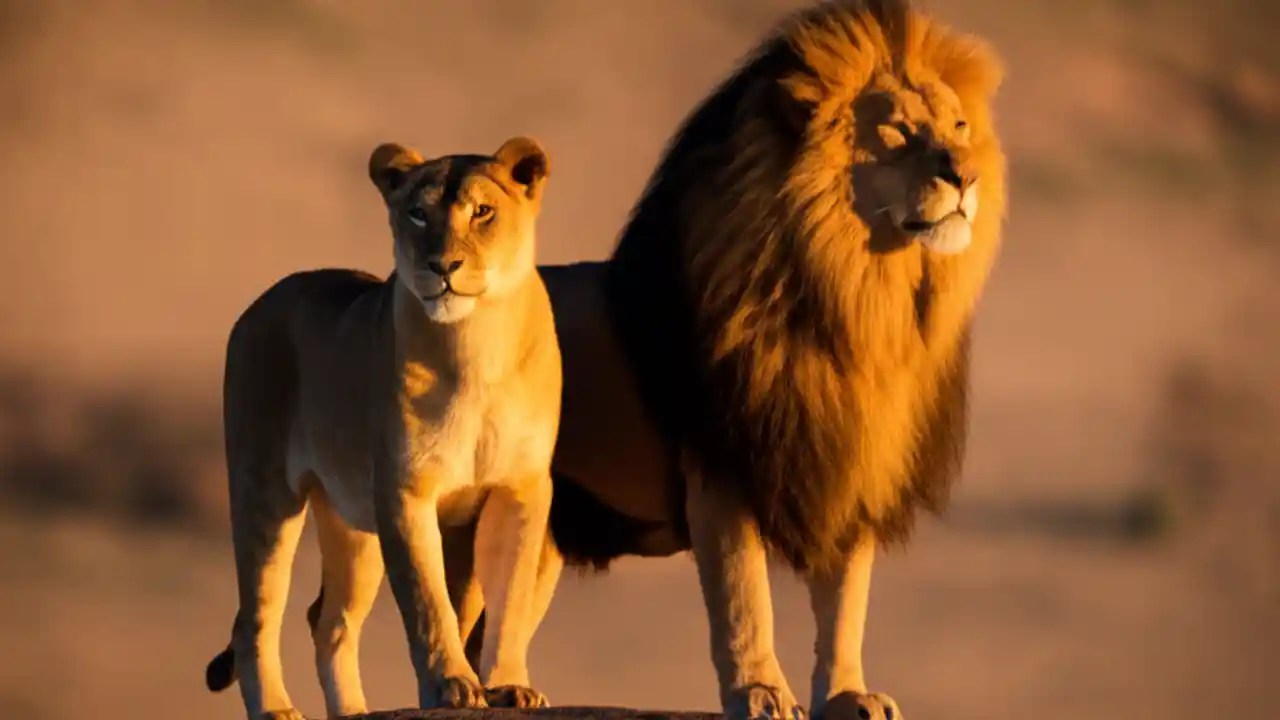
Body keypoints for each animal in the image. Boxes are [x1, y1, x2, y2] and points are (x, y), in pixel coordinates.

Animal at [203, 136, 564, 719]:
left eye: (482, 212)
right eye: (417, 214)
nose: (442, 265)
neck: (476, 344)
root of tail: (259, 305)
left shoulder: (521, 487)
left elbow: (507, 598)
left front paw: (508, 685)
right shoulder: (404, 488)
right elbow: (428, 601)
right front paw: (451, 686)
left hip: (353, 522)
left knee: (329, 622)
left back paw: (353, 712)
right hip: (265, 493)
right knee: (256, 616)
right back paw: (276, 709)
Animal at [472, 3, 1007, 720]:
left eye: (959, 128)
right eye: (895, 129)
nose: (966, 176)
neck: (860, 303)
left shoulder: (852, 464)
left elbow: (846, 602)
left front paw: (848, 694)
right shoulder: (721, 467)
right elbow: (742, 594)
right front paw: (759, 691)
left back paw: (504, 687)